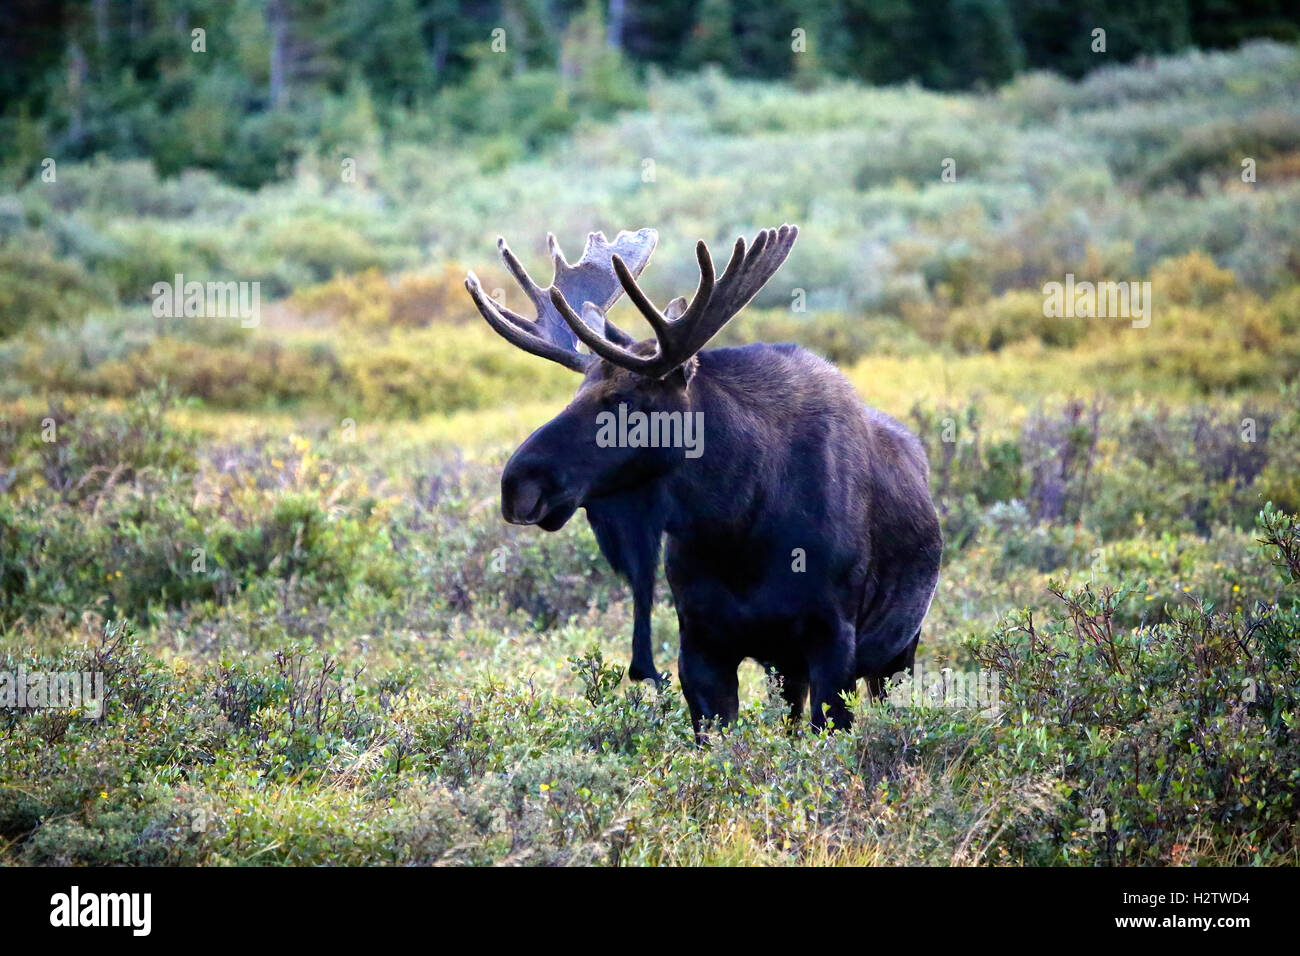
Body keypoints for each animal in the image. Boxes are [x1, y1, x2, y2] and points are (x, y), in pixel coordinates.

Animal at [465, 224, 942, 735]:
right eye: (576, 393)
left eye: (626, 400)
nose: (517, 484)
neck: (736, 526)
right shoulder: (700, 643)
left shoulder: (833, 638)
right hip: (786, 665)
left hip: (899, 647)